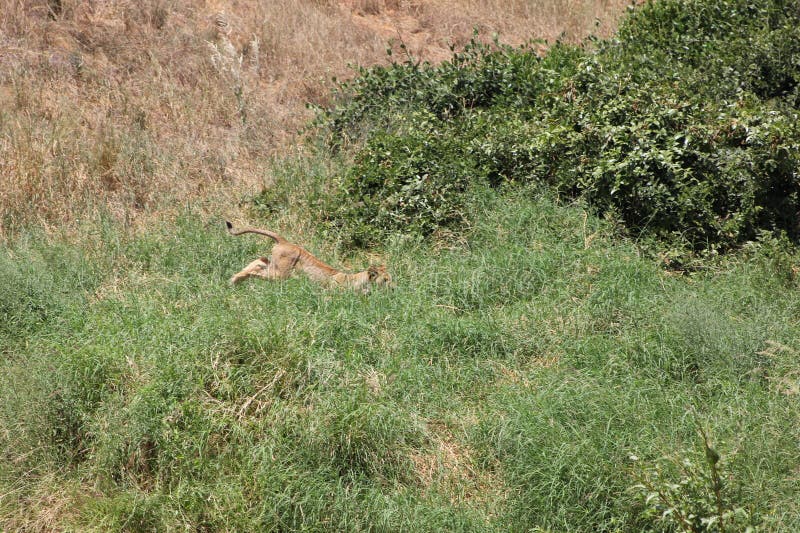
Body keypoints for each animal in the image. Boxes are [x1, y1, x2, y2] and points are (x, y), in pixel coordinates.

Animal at [226, 221, 392, 292]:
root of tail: (285, 240)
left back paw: (233, 280)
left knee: (259, 261)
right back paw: (236, 280)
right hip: (281, 274)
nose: (393, 288)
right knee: (256, 270)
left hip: (276, 267)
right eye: (385, 280)